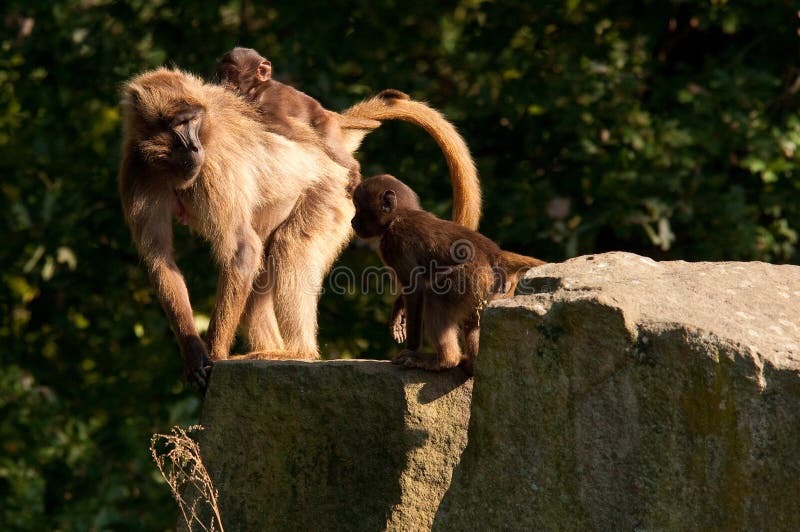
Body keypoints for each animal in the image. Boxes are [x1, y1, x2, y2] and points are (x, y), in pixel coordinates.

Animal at [119, 67, 481, 391]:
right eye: (178, 124)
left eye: (192, 120)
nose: (193, 148)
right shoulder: (137, 169)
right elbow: (160, 260)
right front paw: (195, 355)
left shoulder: (213, 167)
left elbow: (240, 249)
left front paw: (216, 354)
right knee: (259, 272)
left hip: (333, 196)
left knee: (289, 247)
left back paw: (295, 353)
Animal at [216, 47, 363, 193]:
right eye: (221, 74)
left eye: (231, 73)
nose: (224, 83)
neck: (258, 88)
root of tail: (324, 111)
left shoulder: (272, 96)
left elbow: (283, 127)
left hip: (327, 122)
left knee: (330, 145)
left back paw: (353, 168)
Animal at [351, 174, 544, 375]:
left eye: (358, 207)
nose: (353, 221)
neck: (398, 216)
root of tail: (495, 254)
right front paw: (398, 311)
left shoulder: (393, 242)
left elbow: (414, 289)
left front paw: (412, 349)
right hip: (495, 289)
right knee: (472, 319)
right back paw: (470, 364)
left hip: (473, 278)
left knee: (434, 297)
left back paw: (445, 361)